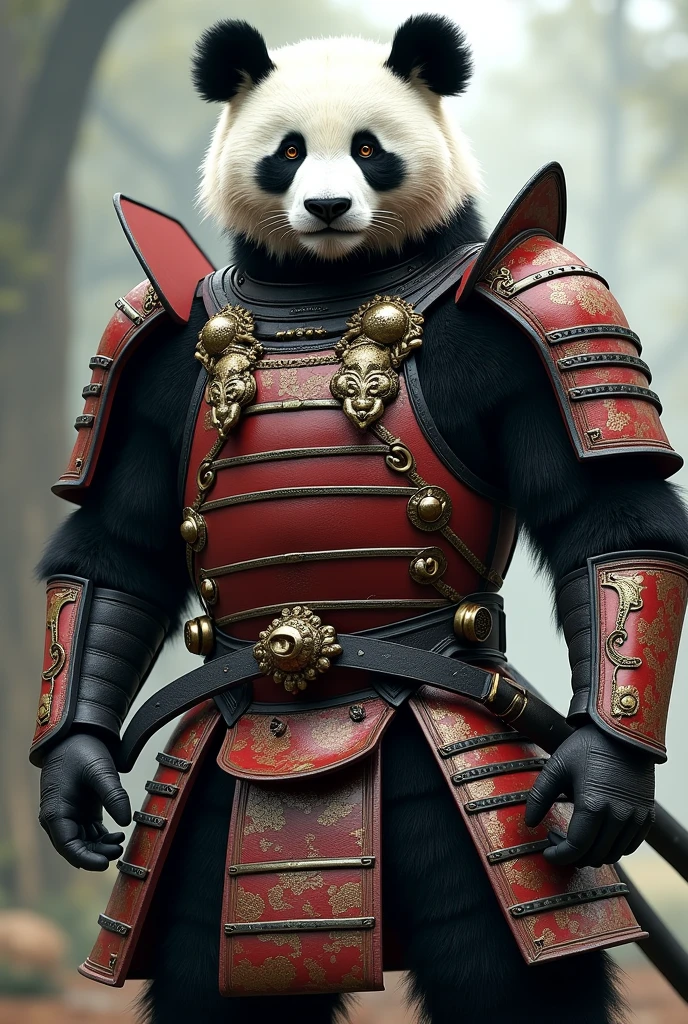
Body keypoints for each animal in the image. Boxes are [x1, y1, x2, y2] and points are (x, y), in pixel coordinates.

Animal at [37, 15, 688, 1024]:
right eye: (287, 152)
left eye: (373, 149)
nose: (329, 205)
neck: (323, 289)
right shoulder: (139, 346)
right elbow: (114, 549)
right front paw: (74, 780)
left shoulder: (547, 313)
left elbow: (608, 521)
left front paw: (603, 783)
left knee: (506, 970)